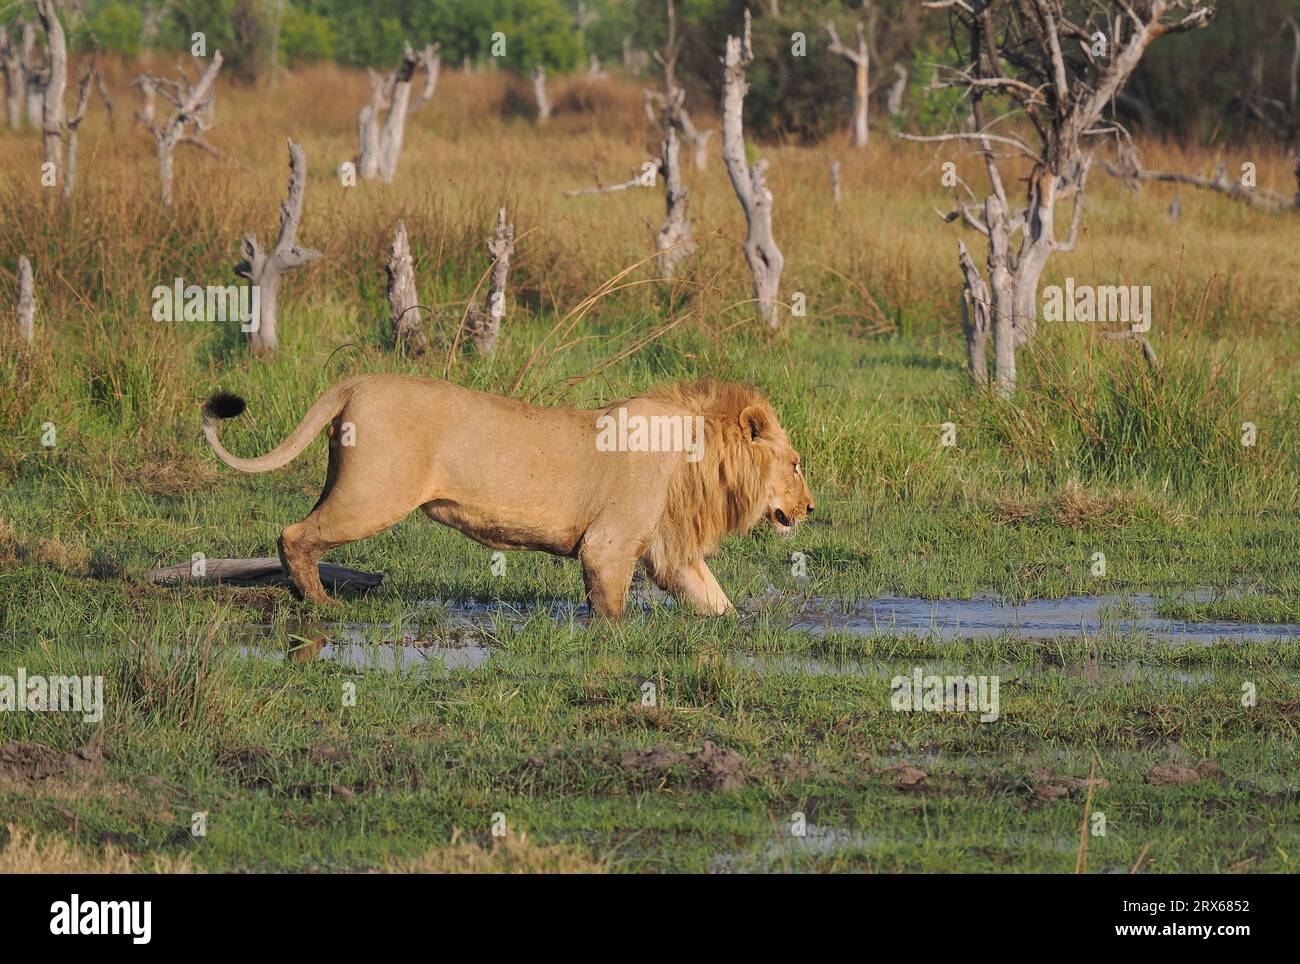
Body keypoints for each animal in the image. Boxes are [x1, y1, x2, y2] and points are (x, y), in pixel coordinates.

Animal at [202, 375, 813, 616]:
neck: (698, 455)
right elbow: (611, 608)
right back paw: (321, 604)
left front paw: (738, 627)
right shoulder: (608, 545)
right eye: (795, 464)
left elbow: (715, 600)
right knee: (293, 535)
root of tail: (356, 382)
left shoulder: (668, 549)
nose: (811, 509)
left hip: (347, 486)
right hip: (372, 496)